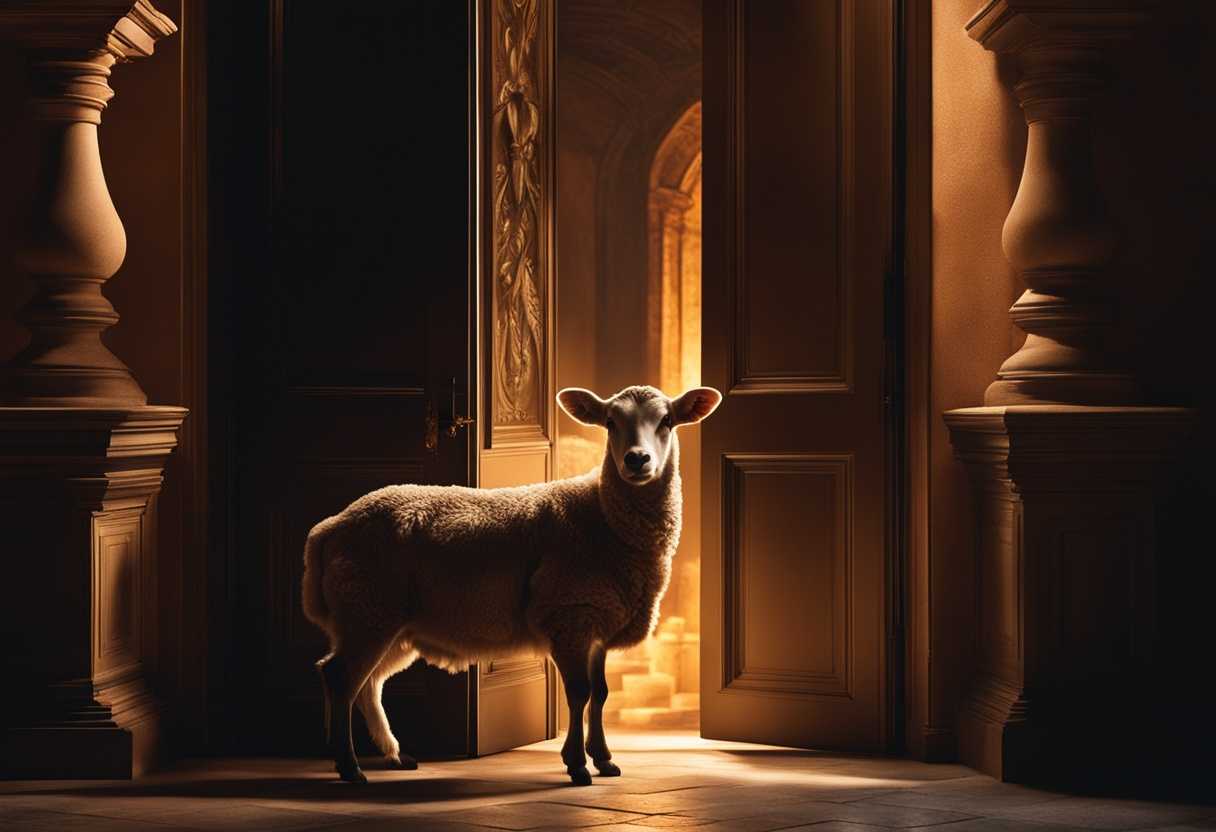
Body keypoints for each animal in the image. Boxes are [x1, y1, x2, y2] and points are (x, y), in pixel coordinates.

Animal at [301, 384, 722, 786]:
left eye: (667, 421)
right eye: (610, 423)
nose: (637, 460)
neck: (603, 516)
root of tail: (329, 528)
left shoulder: (597, 622)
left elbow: (601, 693)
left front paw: (603, 759)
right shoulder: (570, 615)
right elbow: (579, 693)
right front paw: (576, 764)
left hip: (386, 622)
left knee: (366, 683)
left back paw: (393, 754)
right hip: (368, 609)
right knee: (341, 677)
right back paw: (350, 766)